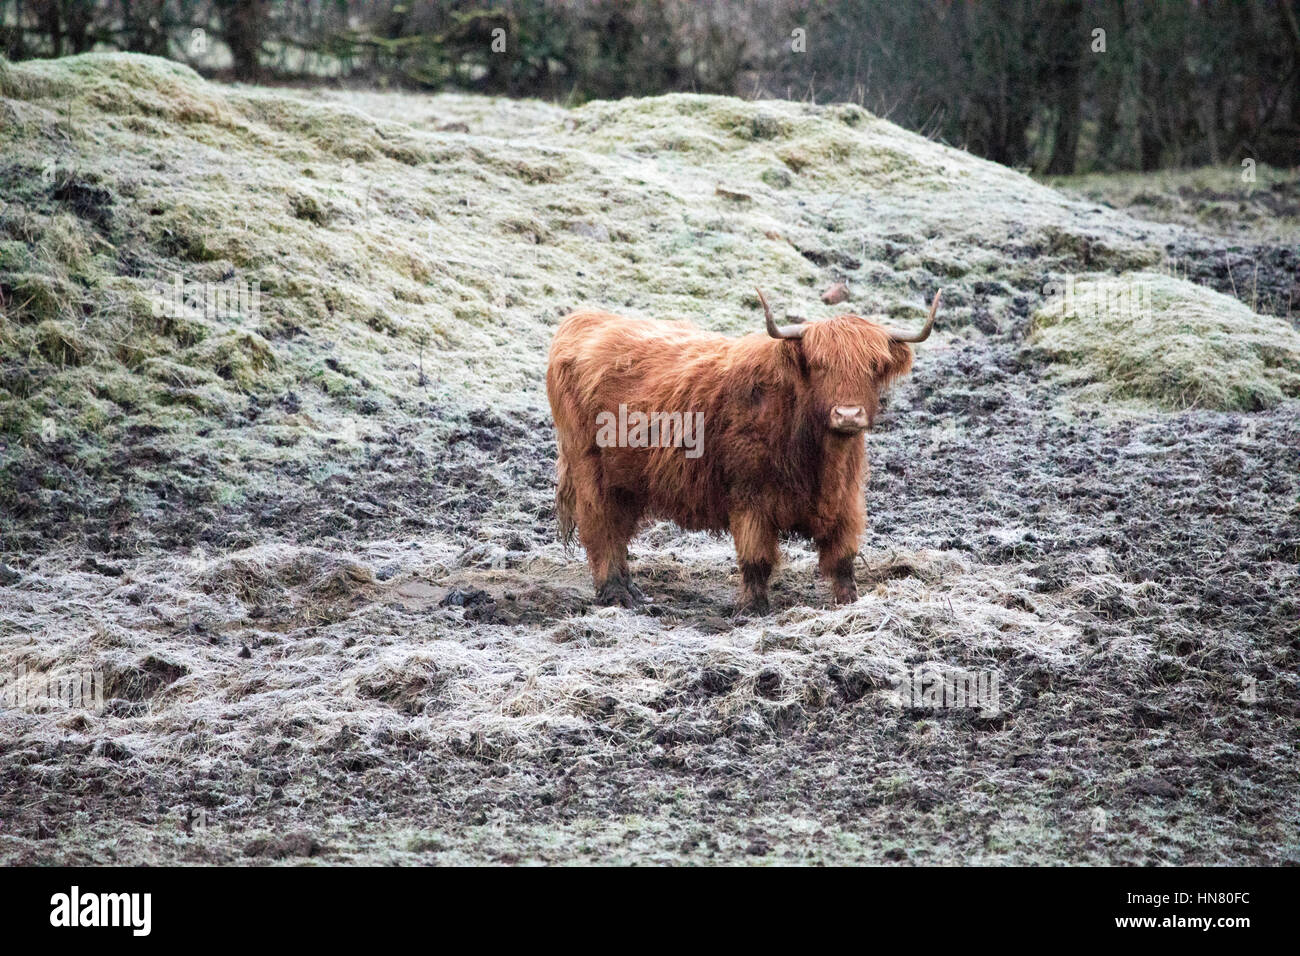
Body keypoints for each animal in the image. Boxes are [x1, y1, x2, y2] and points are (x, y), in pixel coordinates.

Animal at [546, 288, 941, 613]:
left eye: (874, 367)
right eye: (818, 365)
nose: (848, 414)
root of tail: (587, 321)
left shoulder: (846, 500)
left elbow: (843, 559)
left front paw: (850, 602)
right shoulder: (751, 500)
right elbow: (756, 560)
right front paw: (753, 609)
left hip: (627, 482)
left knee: (617, 532)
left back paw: (633, 591)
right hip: (591, 472)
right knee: (602, 530)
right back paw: (617, 595)